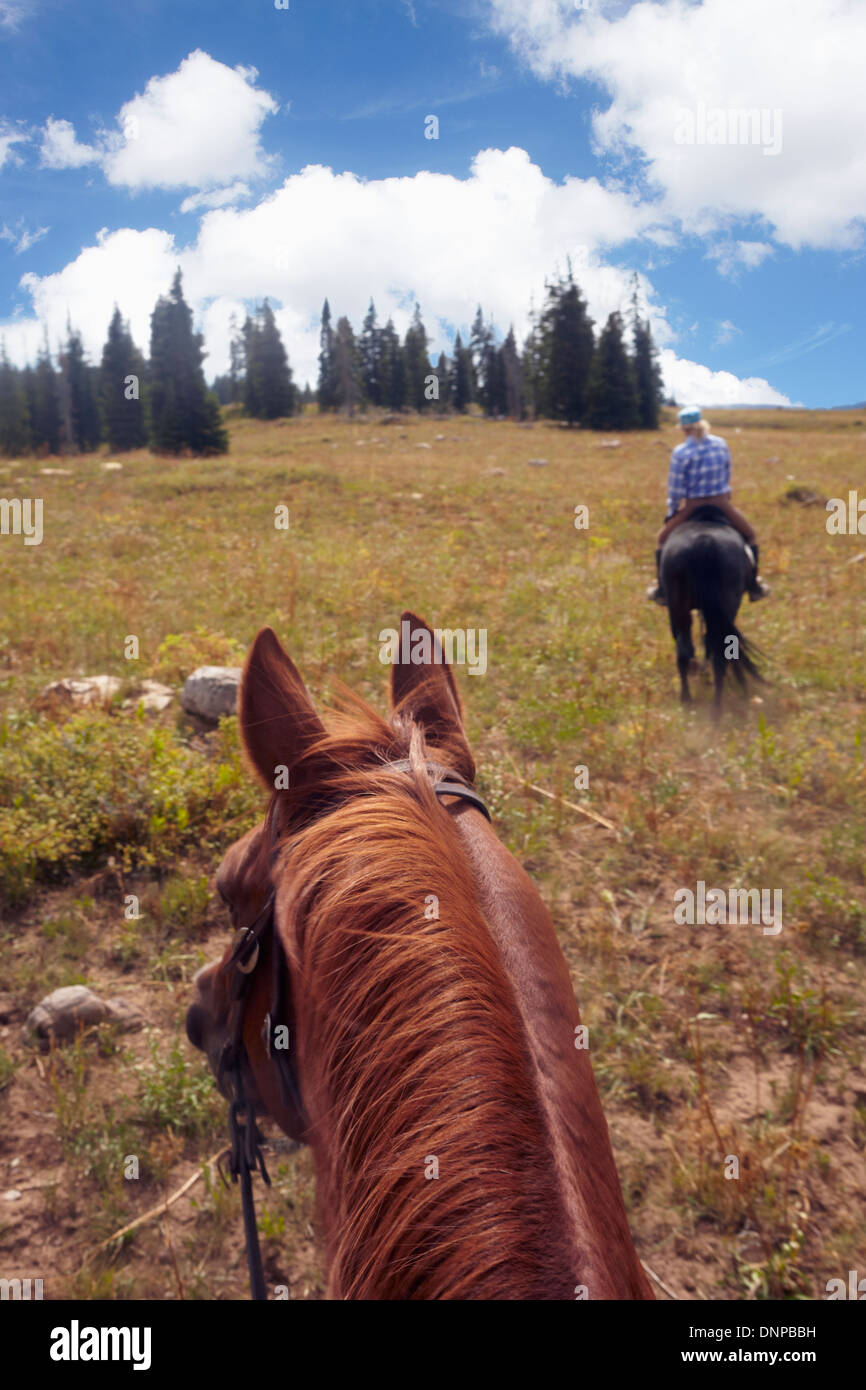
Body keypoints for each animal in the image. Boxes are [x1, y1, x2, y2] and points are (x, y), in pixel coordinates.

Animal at [660, 505, 764, 714]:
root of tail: (705, 541)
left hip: (679, 608)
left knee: (685, 651)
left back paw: (689, 700)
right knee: (716, 655)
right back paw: (715, 708)